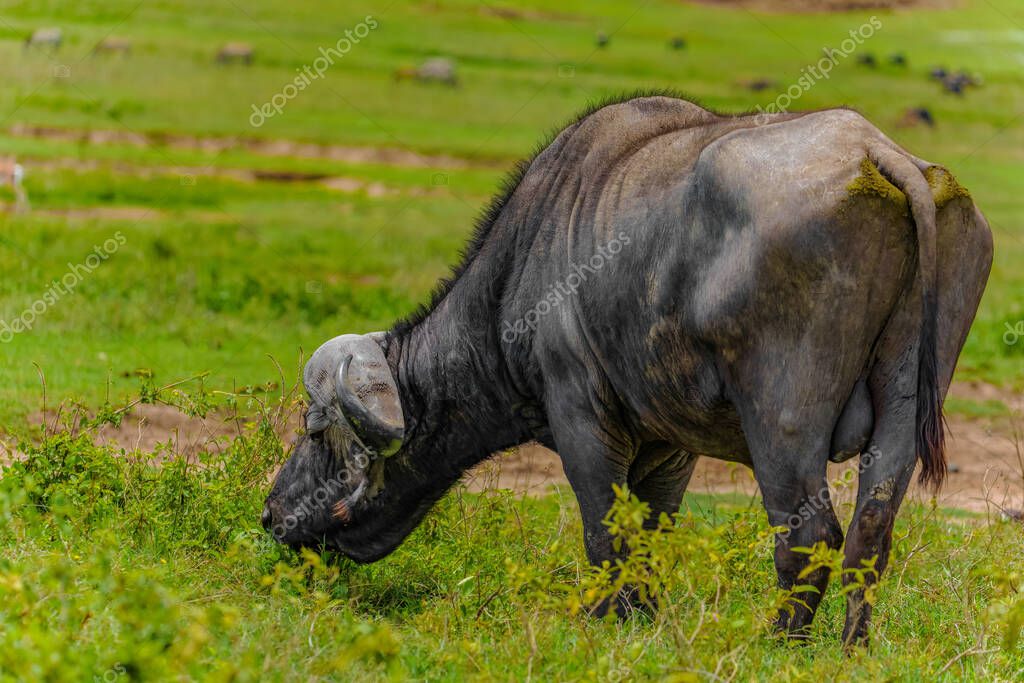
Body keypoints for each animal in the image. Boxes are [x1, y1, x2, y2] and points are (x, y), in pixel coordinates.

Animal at [264, 93, 992, 647]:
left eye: (314, 426)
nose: (271, 513)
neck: (519, 274)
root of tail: (878, 154)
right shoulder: (671, 446)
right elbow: (651, 533)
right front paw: (642, 615)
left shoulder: (581, 415)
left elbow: (604, 531)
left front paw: (604, 618)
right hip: (903, 409)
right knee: (870, 533)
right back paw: (851, 648)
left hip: (782, 422)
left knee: (809, 535)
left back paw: (780, 643)